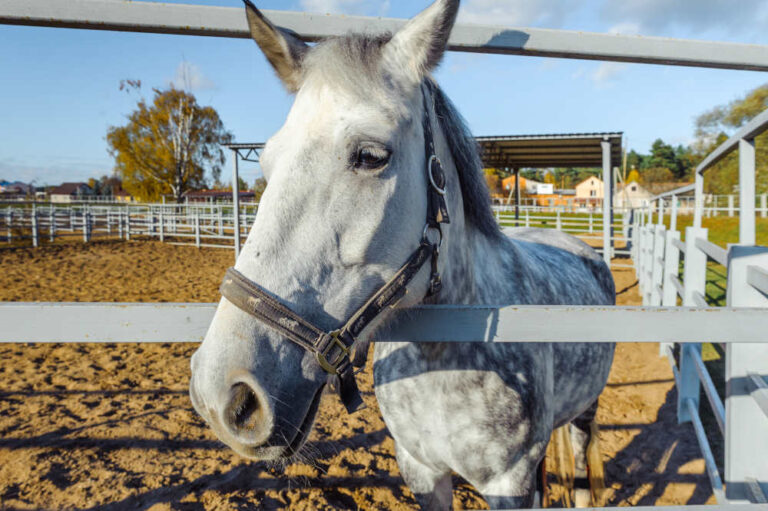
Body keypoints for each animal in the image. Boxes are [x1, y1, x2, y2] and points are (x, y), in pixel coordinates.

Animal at [189, 0, 616, 508]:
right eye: (268, 161)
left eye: (371, 155)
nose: (222, 395)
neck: (444, 356)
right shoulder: (420, 469)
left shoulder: (510, 483)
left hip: (586, 412)